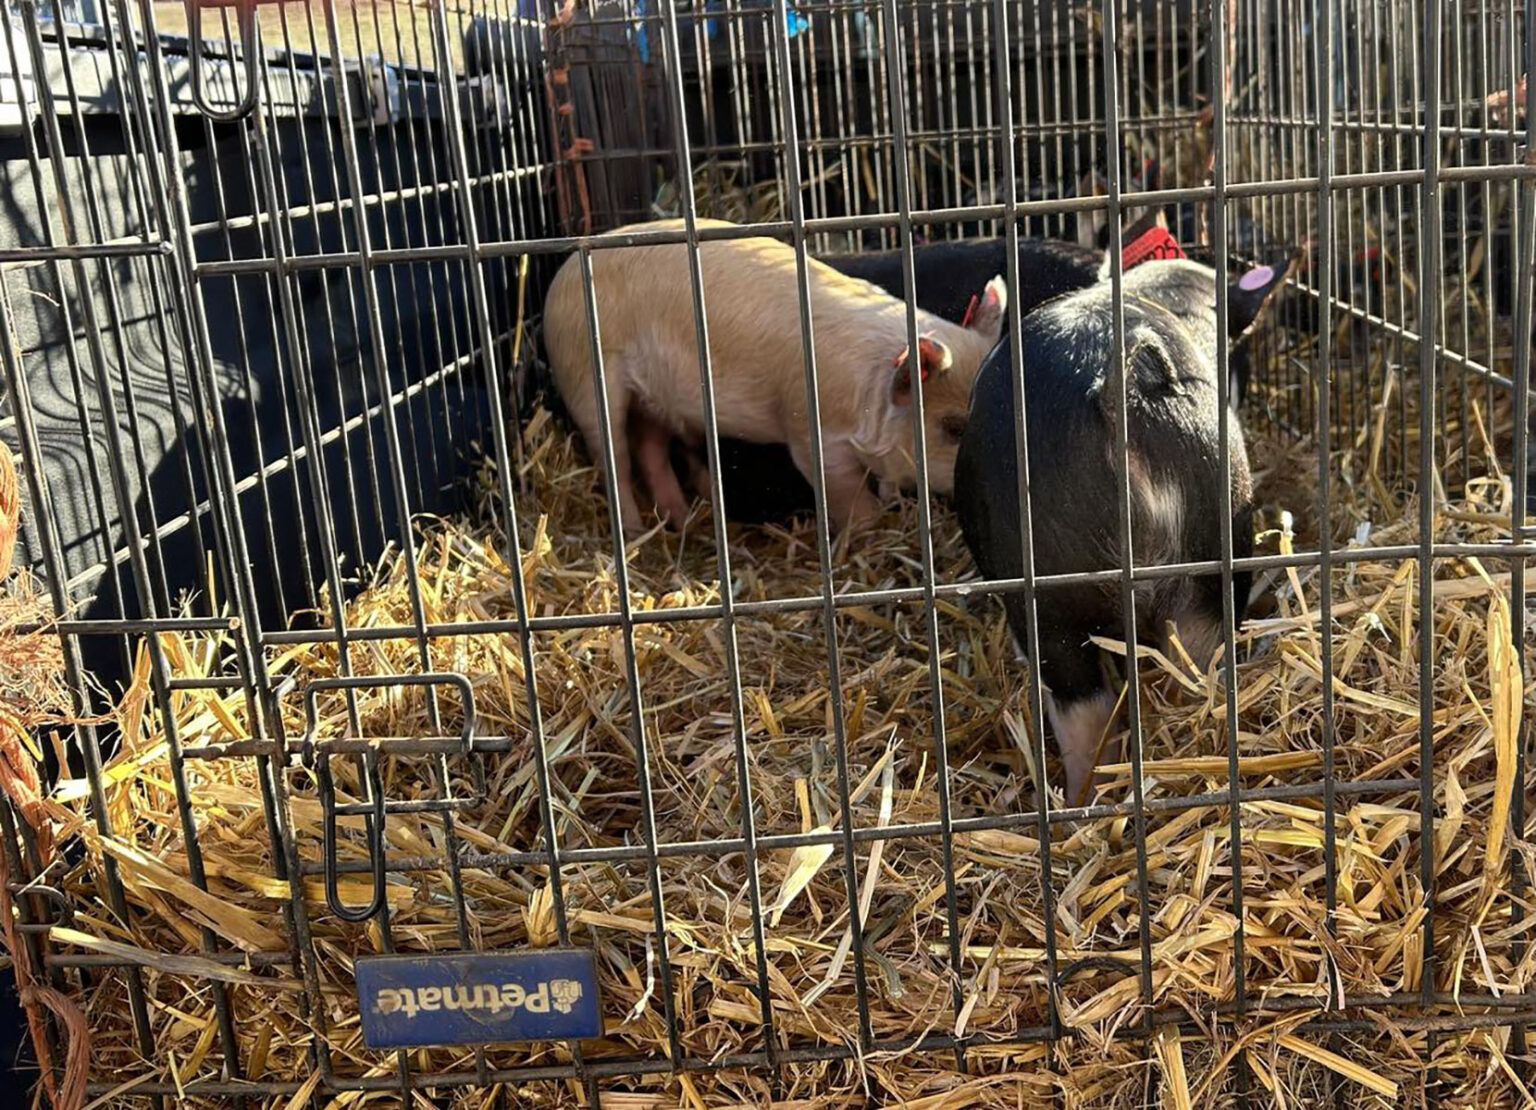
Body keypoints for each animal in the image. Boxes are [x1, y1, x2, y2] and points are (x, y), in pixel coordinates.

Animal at [541, 218, 1007, 537]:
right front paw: (869, 528)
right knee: (613, 458)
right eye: (953, 427)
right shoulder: (812, 433)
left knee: (650, 450)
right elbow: (844, 492)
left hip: (656, 399)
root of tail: (563, 270)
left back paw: (684, 519)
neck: (870, 383)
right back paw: (635, 531)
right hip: (584, 373)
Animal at [954, 253, 1289, 805]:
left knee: (1087, 709)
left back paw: (1084, 801)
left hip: (1050, 588)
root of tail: (1118, 395)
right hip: (1209, 539)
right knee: (1189, 676)